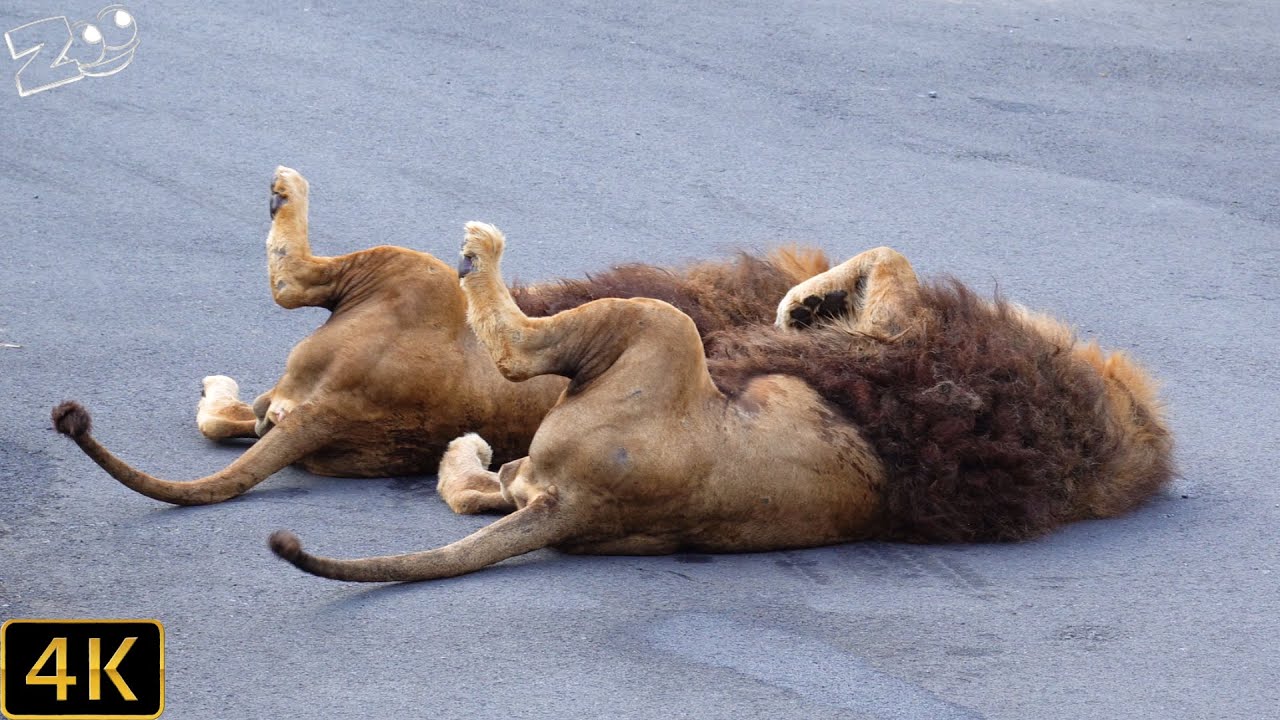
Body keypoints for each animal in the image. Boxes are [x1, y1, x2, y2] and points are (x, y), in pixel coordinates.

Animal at [269, 222, 1174, 582]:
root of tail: (578, 502)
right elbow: (891, 257)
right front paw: (810, 299)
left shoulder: (909, 352)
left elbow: (893, 264)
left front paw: (807, 303)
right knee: (484, 486)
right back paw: (465, 450)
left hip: (656, 326)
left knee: (512, 344)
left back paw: (477, 258)